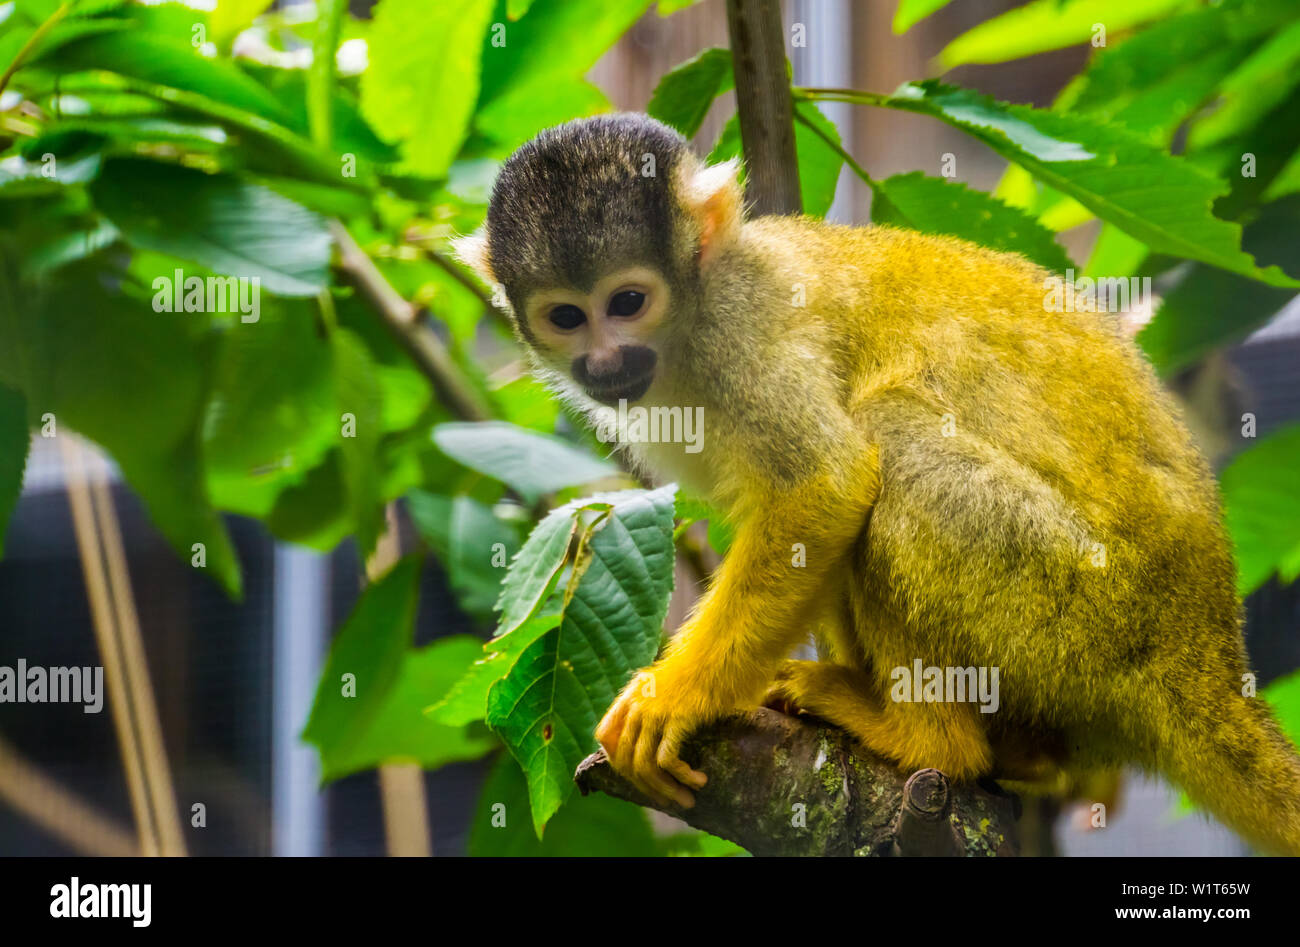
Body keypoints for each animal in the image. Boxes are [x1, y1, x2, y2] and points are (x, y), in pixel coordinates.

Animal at [453, 112, 1300, 855]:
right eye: (567, 316)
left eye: (628, 301)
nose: (605, 362)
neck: (694, 313)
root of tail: (1205, 653)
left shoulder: (745, 331)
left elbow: (825, 484)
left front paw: (677, 693)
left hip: (1093, 613)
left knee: (889, 434)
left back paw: (930, 738)